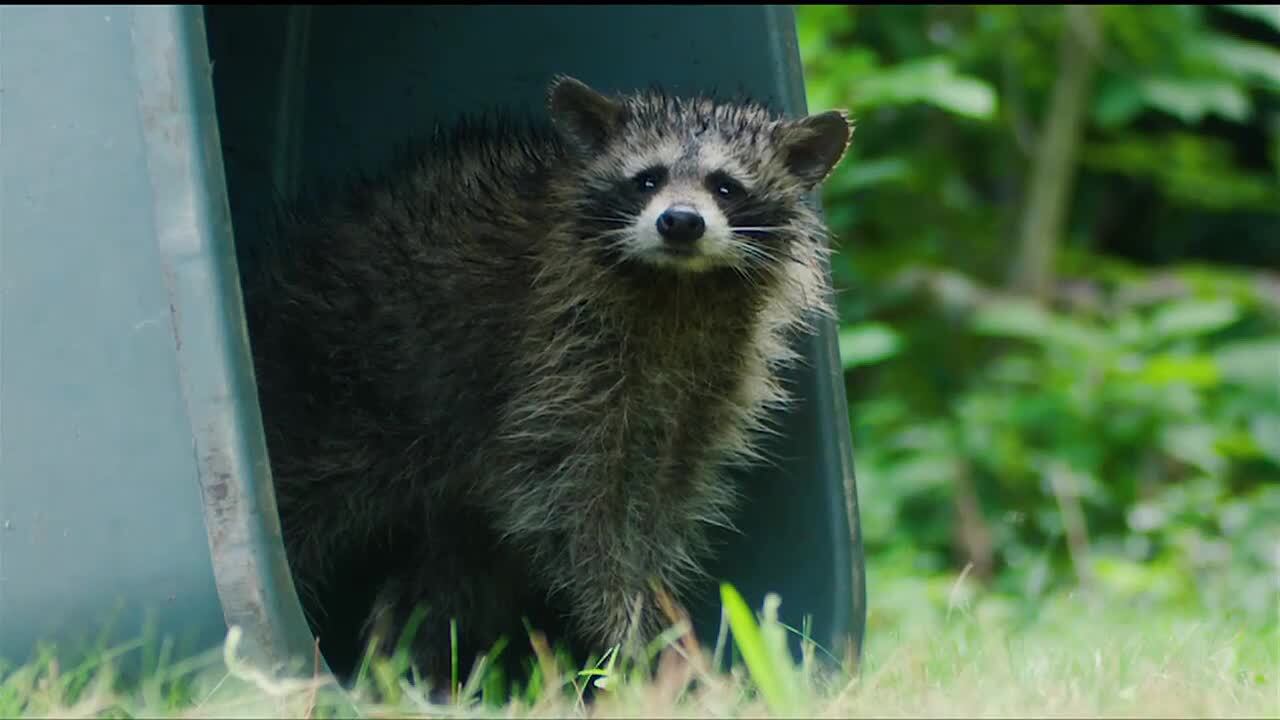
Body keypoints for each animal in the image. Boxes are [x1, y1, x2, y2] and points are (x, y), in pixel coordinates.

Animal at [242, 75, 851, 685]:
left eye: (726, 187)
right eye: (647, 179)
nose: (680, 221)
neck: (680, 284)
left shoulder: (706, 389)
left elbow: (664, 502)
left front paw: (654, 609)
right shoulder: (555, 365)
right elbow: (577, 514)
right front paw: (632, 628)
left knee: (450, 573)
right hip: (337, 387)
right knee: (303, 491)